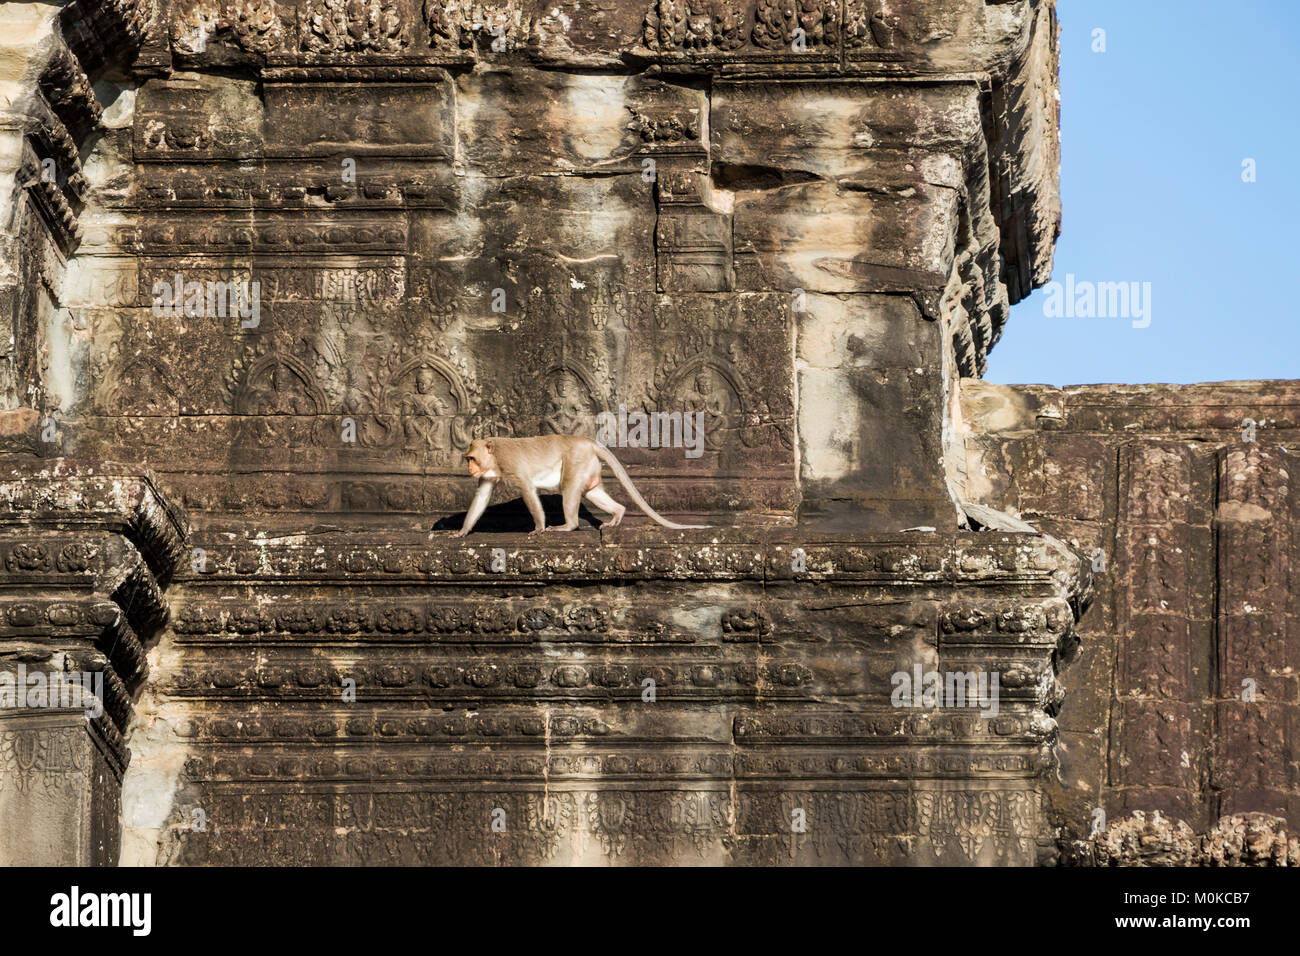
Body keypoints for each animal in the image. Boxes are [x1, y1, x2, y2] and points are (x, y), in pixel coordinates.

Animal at [451, 434, 708, 537]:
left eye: (471, 459)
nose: (469, 469)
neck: (494, 456)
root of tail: (588, 442)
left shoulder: (511, 465)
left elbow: (528, 490)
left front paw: (539, 528)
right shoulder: (489, 474)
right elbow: (483, 495)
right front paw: (462, 531)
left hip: (576, 460)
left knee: (569, 489)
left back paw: (568, 526)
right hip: (589, 466)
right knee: (592, 492)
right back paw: (618, 513)